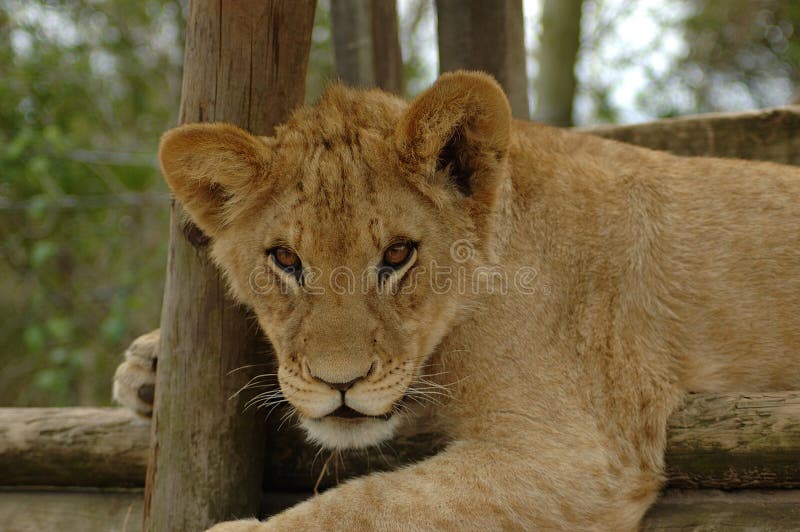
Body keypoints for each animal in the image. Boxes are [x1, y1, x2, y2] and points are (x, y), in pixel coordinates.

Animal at [114, 71, 800, 530]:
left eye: (397, 254)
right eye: (285, 260)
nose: (340, 384)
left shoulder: (580, 451)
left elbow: (372, 504)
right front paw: (150, 365)